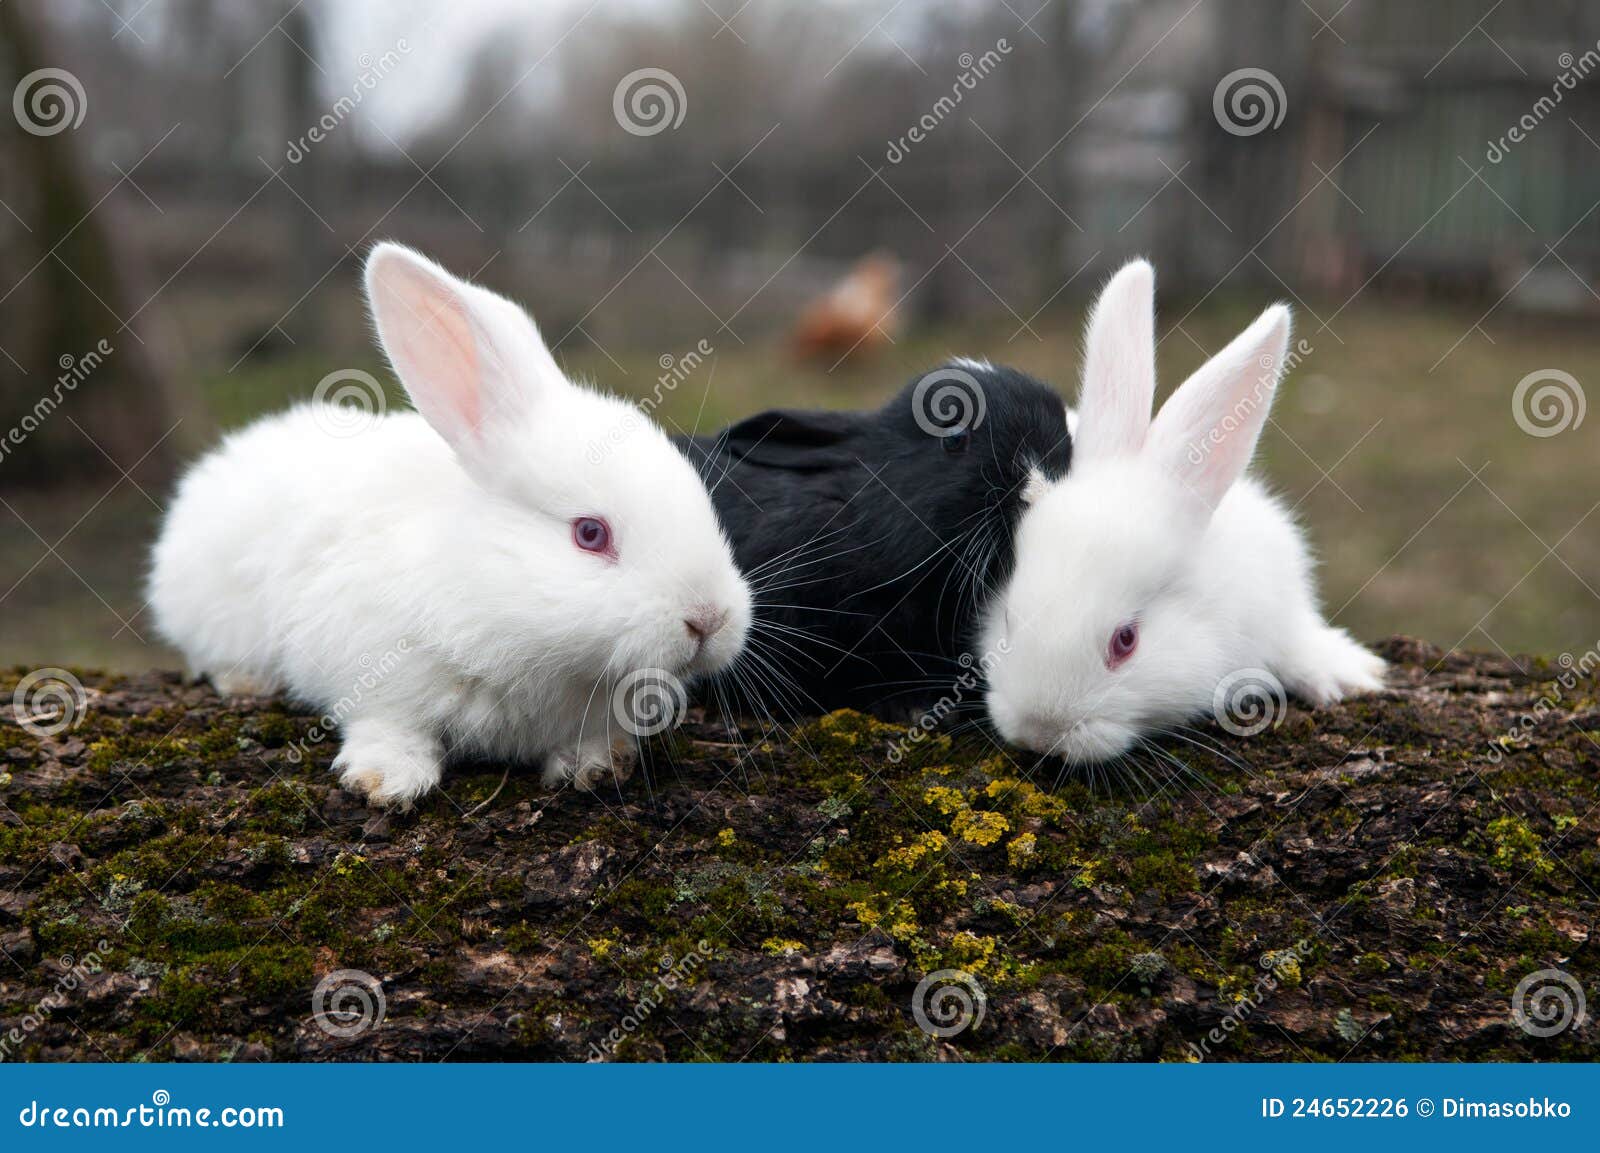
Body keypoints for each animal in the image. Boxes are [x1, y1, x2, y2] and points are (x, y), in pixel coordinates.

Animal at [149, 243, 752, 807]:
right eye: (590, 534)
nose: (709, 620)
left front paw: (598, 765)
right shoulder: (372, 670)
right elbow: (389, 725)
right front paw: (385, 781)